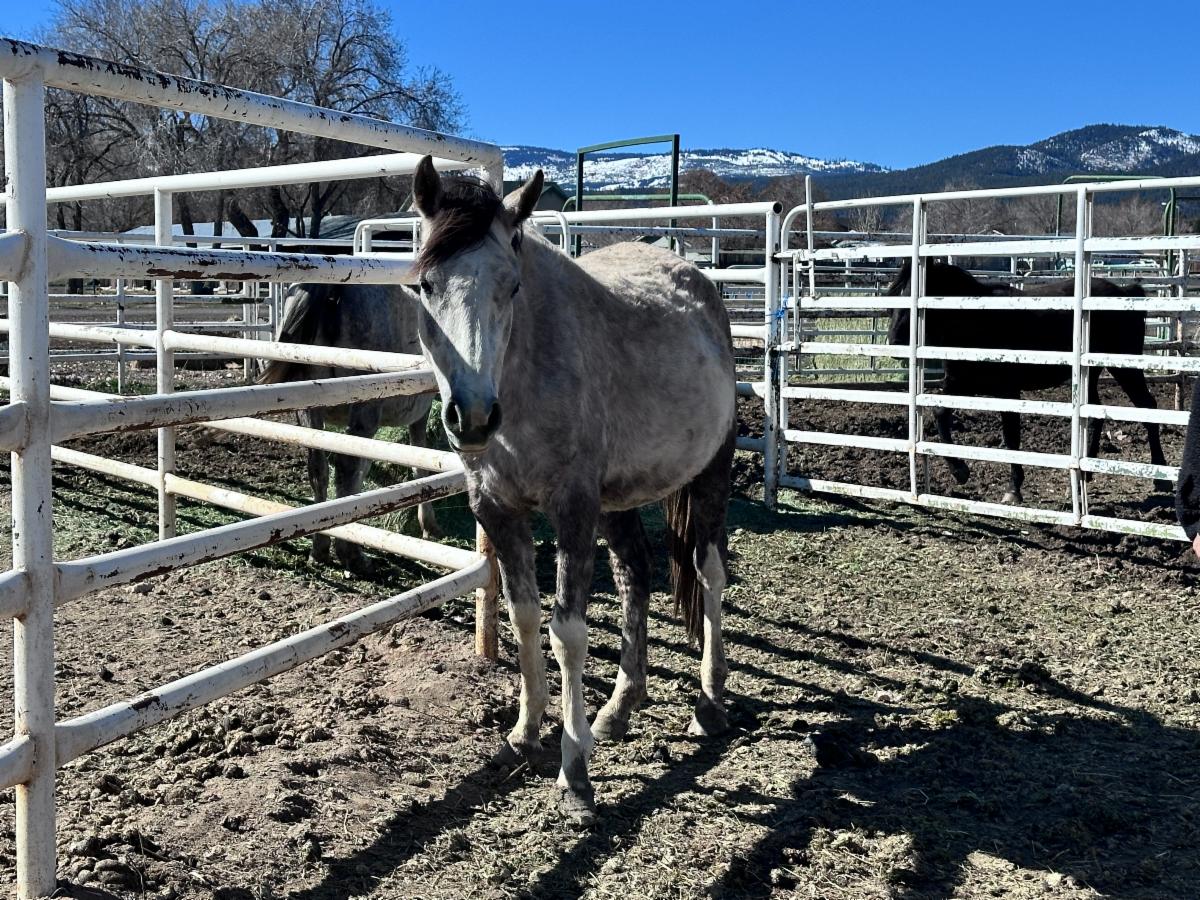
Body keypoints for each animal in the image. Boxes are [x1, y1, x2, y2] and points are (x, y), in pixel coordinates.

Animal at [258, 283, 440, 573]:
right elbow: (419, 462)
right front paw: (428, 524)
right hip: (365, 409)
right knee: (346, 468)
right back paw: (352, 554)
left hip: (309, 409)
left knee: (319, 469)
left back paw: (320, 548)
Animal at [408, 156, 736, 824]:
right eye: (426, 285)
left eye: (511, 286)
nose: (472, 418)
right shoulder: (498, 508)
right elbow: (524, 616)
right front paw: (525, 734)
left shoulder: (572, 510)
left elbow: (568, 634)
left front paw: (575, 775)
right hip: (619, 499)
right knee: (636, 572)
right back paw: (621, 707)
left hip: (708, 475)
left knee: (709, 573)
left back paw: (710, 702)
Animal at [886, 260, 1169, 502]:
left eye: (915, 292)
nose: (894, 343)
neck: (977, 319)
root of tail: (1126, 290)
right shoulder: (960, 383)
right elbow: (940, 414)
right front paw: (960, 472)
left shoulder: (1007, 391)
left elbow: (1012, 437)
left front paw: (1013, 489)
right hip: (1091, 373)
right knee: (1096, 413)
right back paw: (1086, 474)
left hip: (1125, 368)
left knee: (1148, 407)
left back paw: (1161, 476)